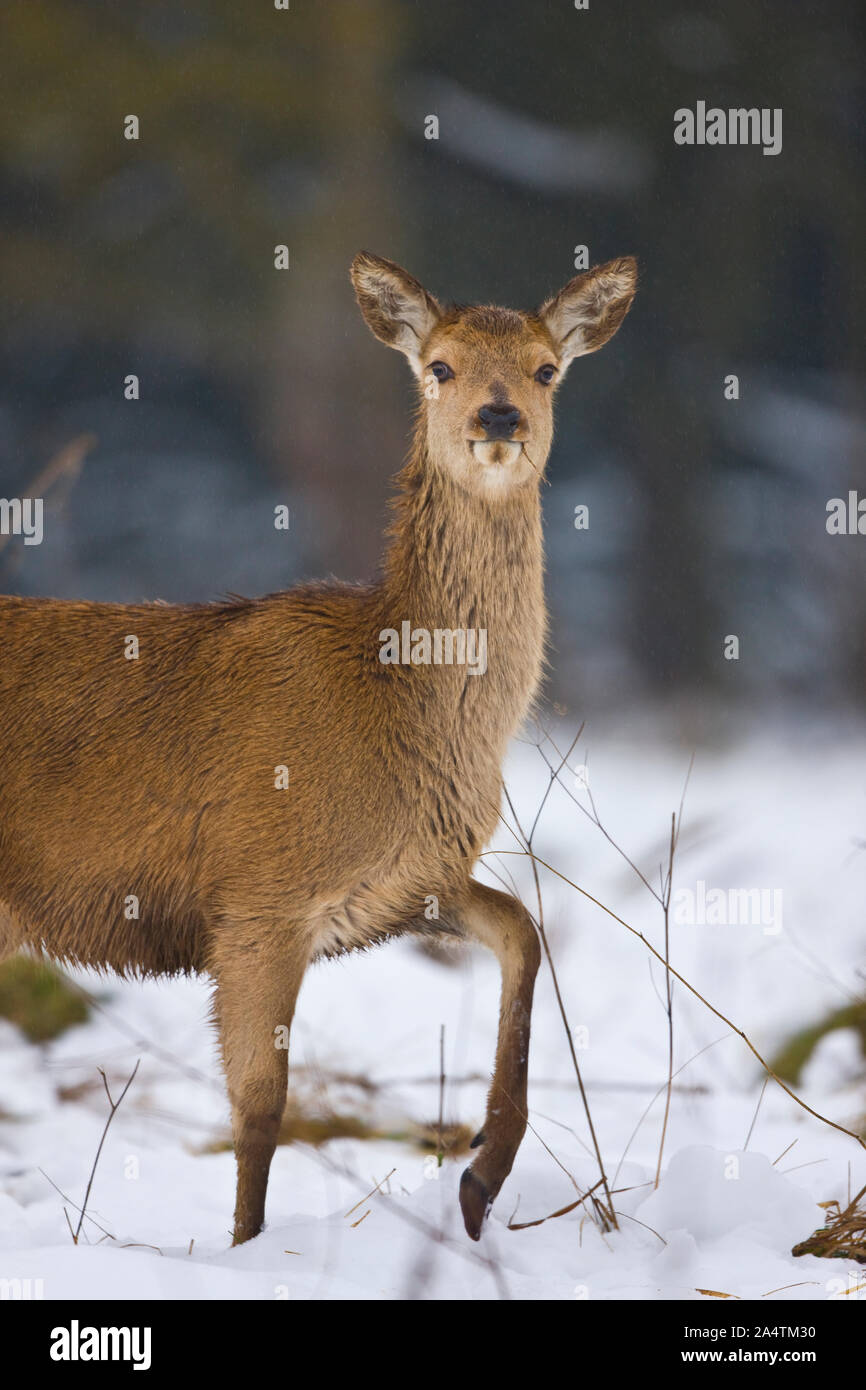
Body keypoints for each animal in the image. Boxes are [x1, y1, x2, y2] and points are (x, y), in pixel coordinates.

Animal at [0, 251, 636, 1245]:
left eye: (545, 368)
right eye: (440, 366)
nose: (500, 417)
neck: (399, 708)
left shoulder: (411, 879)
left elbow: (524, 931)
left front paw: (480, 1177)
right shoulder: (258, 895)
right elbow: (262, 1106)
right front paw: (246, 1248)